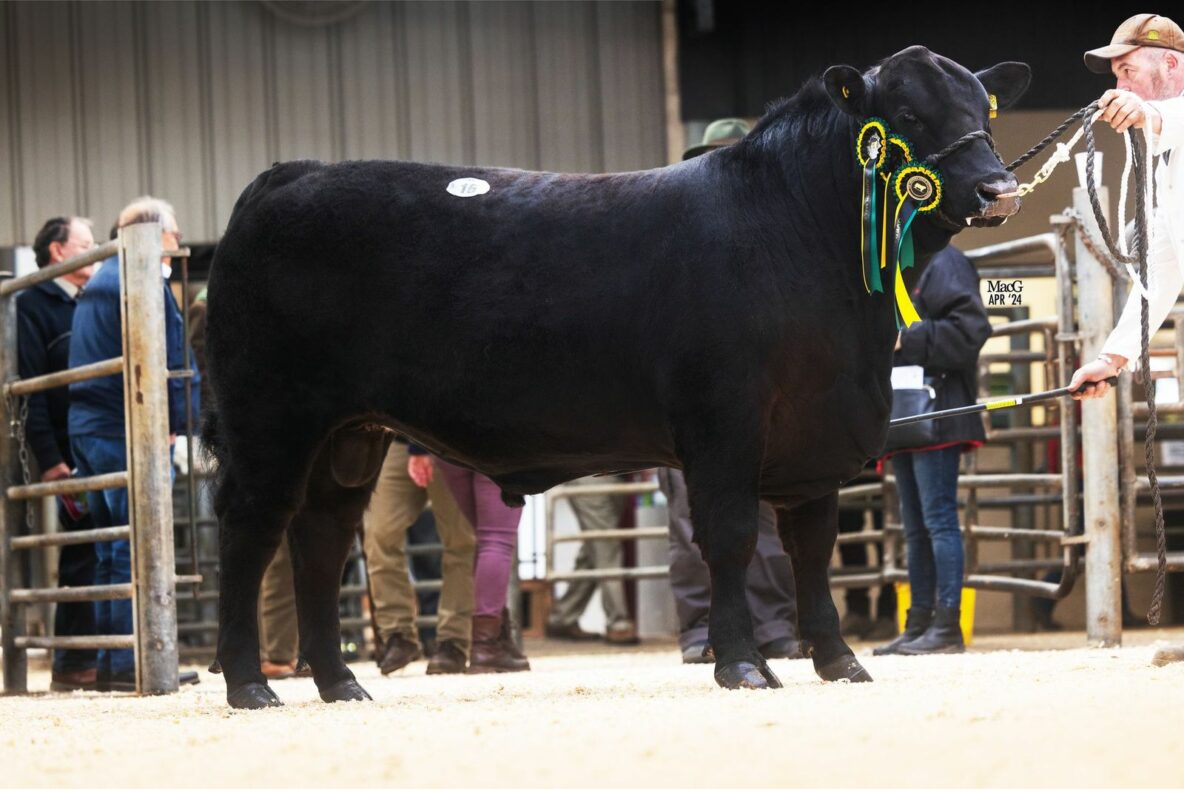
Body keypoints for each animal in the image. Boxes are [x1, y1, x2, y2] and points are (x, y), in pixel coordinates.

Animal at [203, 45, 1030, 709]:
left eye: (982, 110)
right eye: (907, 114)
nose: (998, 189)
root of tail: (292, 175)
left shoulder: (814, 433)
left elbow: (811, 546)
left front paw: (838, 660)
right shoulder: (724, 422)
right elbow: (730, 539)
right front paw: (743, 664)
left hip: (349, 435)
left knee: (319, 537)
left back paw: (340, 682)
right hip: (270, 419)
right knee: (251, 530)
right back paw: (249, 683)